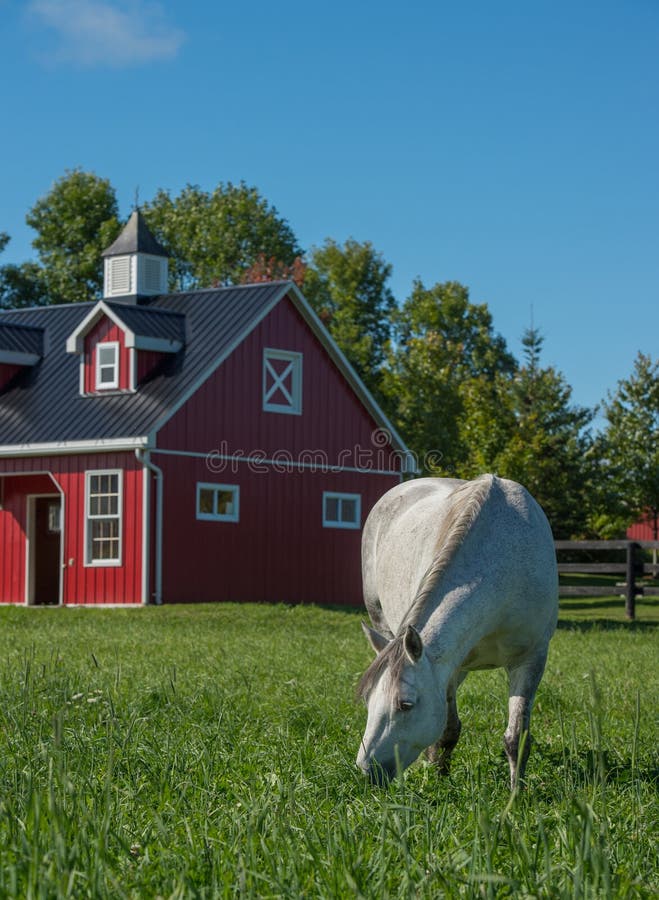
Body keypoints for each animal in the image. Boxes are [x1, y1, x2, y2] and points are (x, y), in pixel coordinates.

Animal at [356, 474, 558, 788]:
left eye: (405, 704)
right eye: (367, 700)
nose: (367, 772)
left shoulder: (531, 658)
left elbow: (516, 738)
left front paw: (517, 793)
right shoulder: (447, 666)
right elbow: (447, 731)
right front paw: (438, 781)